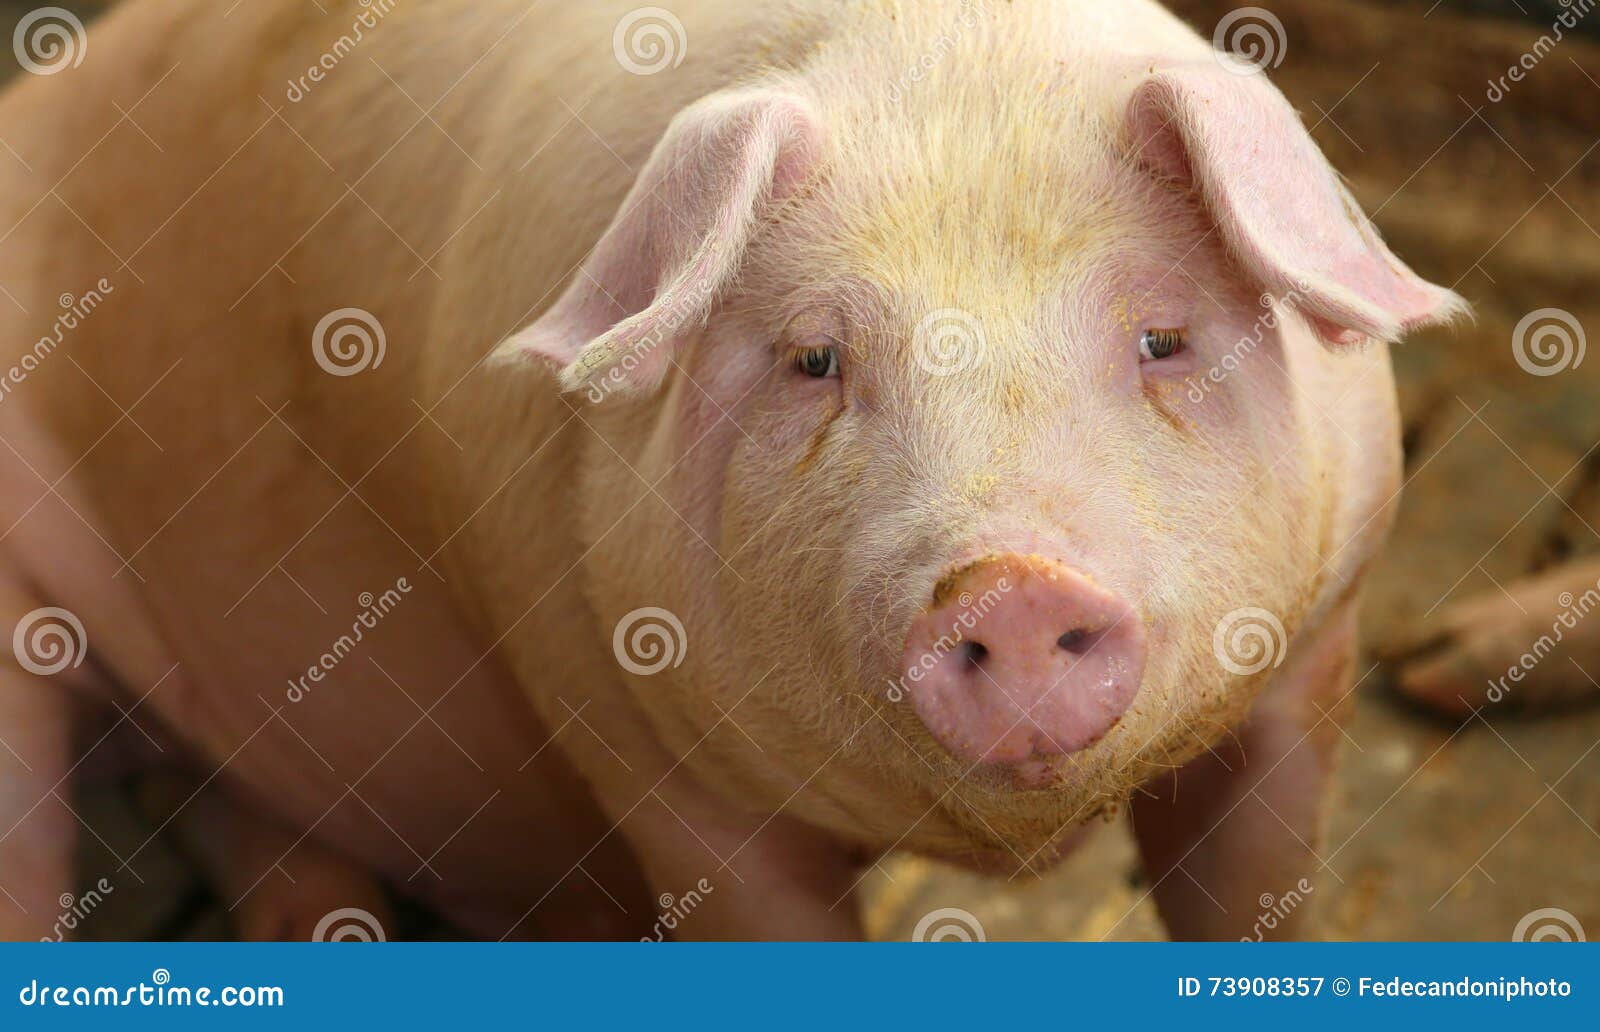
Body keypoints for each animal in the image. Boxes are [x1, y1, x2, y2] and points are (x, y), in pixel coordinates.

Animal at [0, 0, 1463, 941]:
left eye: (1162, 338)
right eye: (814, 358)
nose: (1009, 583)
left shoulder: (1321, 641)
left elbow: (1253, 896)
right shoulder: (629, 729)